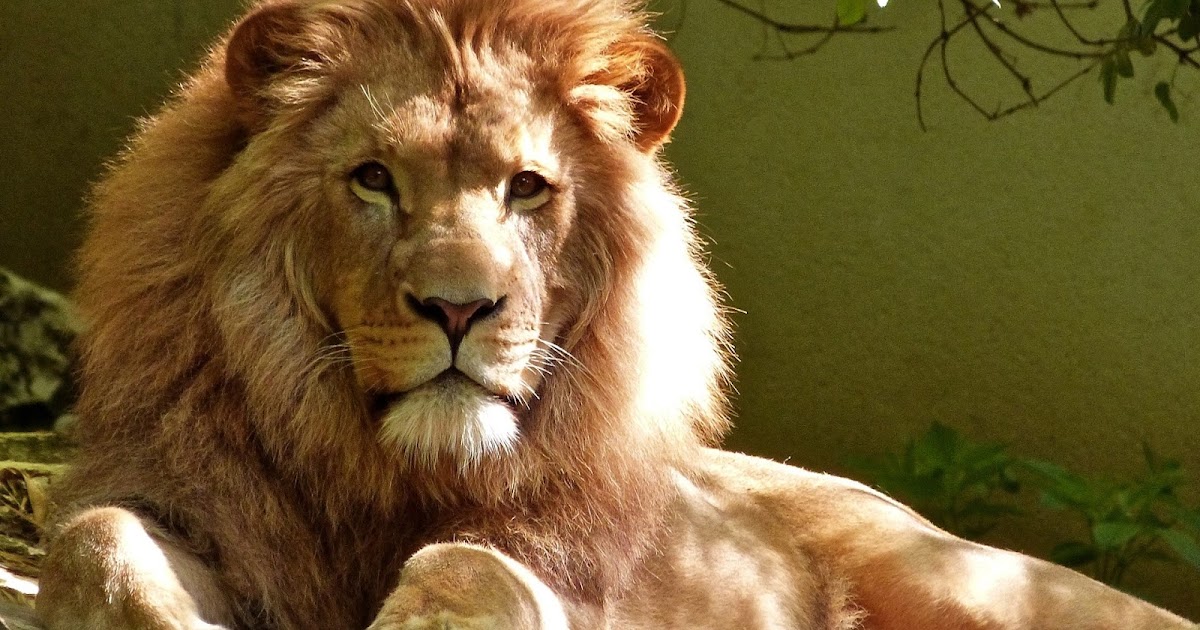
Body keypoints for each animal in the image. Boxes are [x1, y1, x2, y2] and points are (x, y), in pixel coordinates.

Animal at [34, 0, 1195, 628]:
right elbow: (97, 540)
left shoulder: (559, 567)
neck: (386, 475)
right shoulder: (189, 501)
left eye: (527, 188)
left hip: (978, 584)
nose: (460, 308)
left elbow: (467, 572)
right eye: (373, 179)